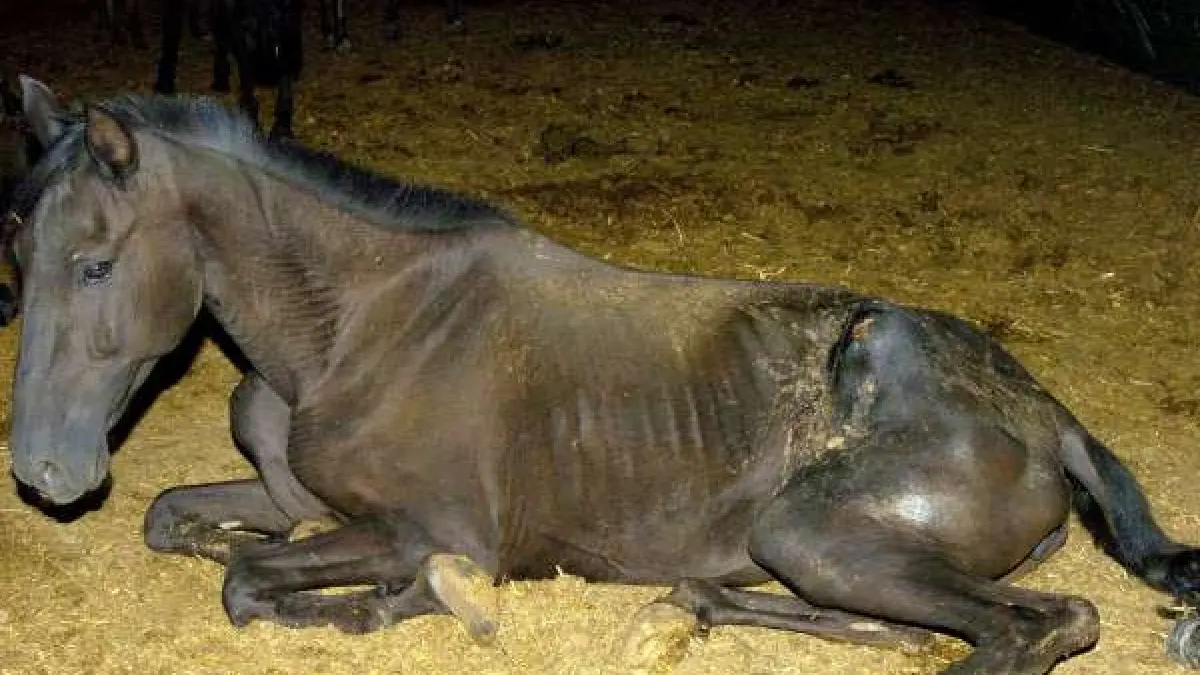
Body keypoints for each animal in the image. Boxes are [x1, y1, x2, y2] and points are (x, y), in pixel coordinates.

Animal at [9, 76, 1200, 674]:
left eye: (95, 263)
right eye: (15, 257)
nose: (46, 472)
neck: (356, 329)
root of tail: (1046, 411)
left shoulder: (431, 525)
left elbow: (257, 583)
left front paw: (406, 603)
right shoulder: (288, 491)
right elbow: (175, 518)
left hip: (810, 530)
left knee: (1040, 624)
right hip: (814, 552)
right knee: (887, 617)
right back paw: (706, 607)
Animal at [155, 0, 304, 140]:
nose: (267, 74)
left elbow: (284, 83)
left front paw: (282, 129)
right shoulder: (240, 25)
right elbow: (246, 72)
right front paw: (250, 122)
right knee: (172, 31)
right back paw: (165, 84)